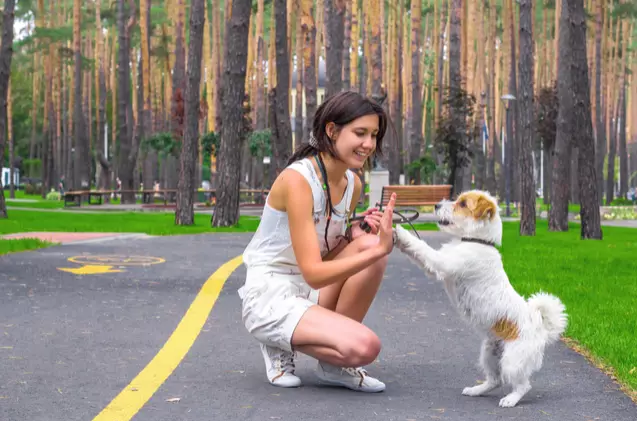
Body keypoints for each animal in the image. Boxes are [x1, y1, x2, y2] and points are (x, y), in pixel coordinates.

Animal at [392, 190, 568, 406]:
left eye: (463, 204)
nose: (436, 205)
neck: (476, 241)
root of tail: (541, 329)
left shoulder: (442, 263)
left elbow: (422, 247)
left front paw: (401, 231)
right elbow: (417, 253)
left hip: (512, 361)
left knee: (523, 385)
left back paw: (510, 400)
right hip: (490, 353)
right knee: (495, 380)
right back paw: (476, 390)